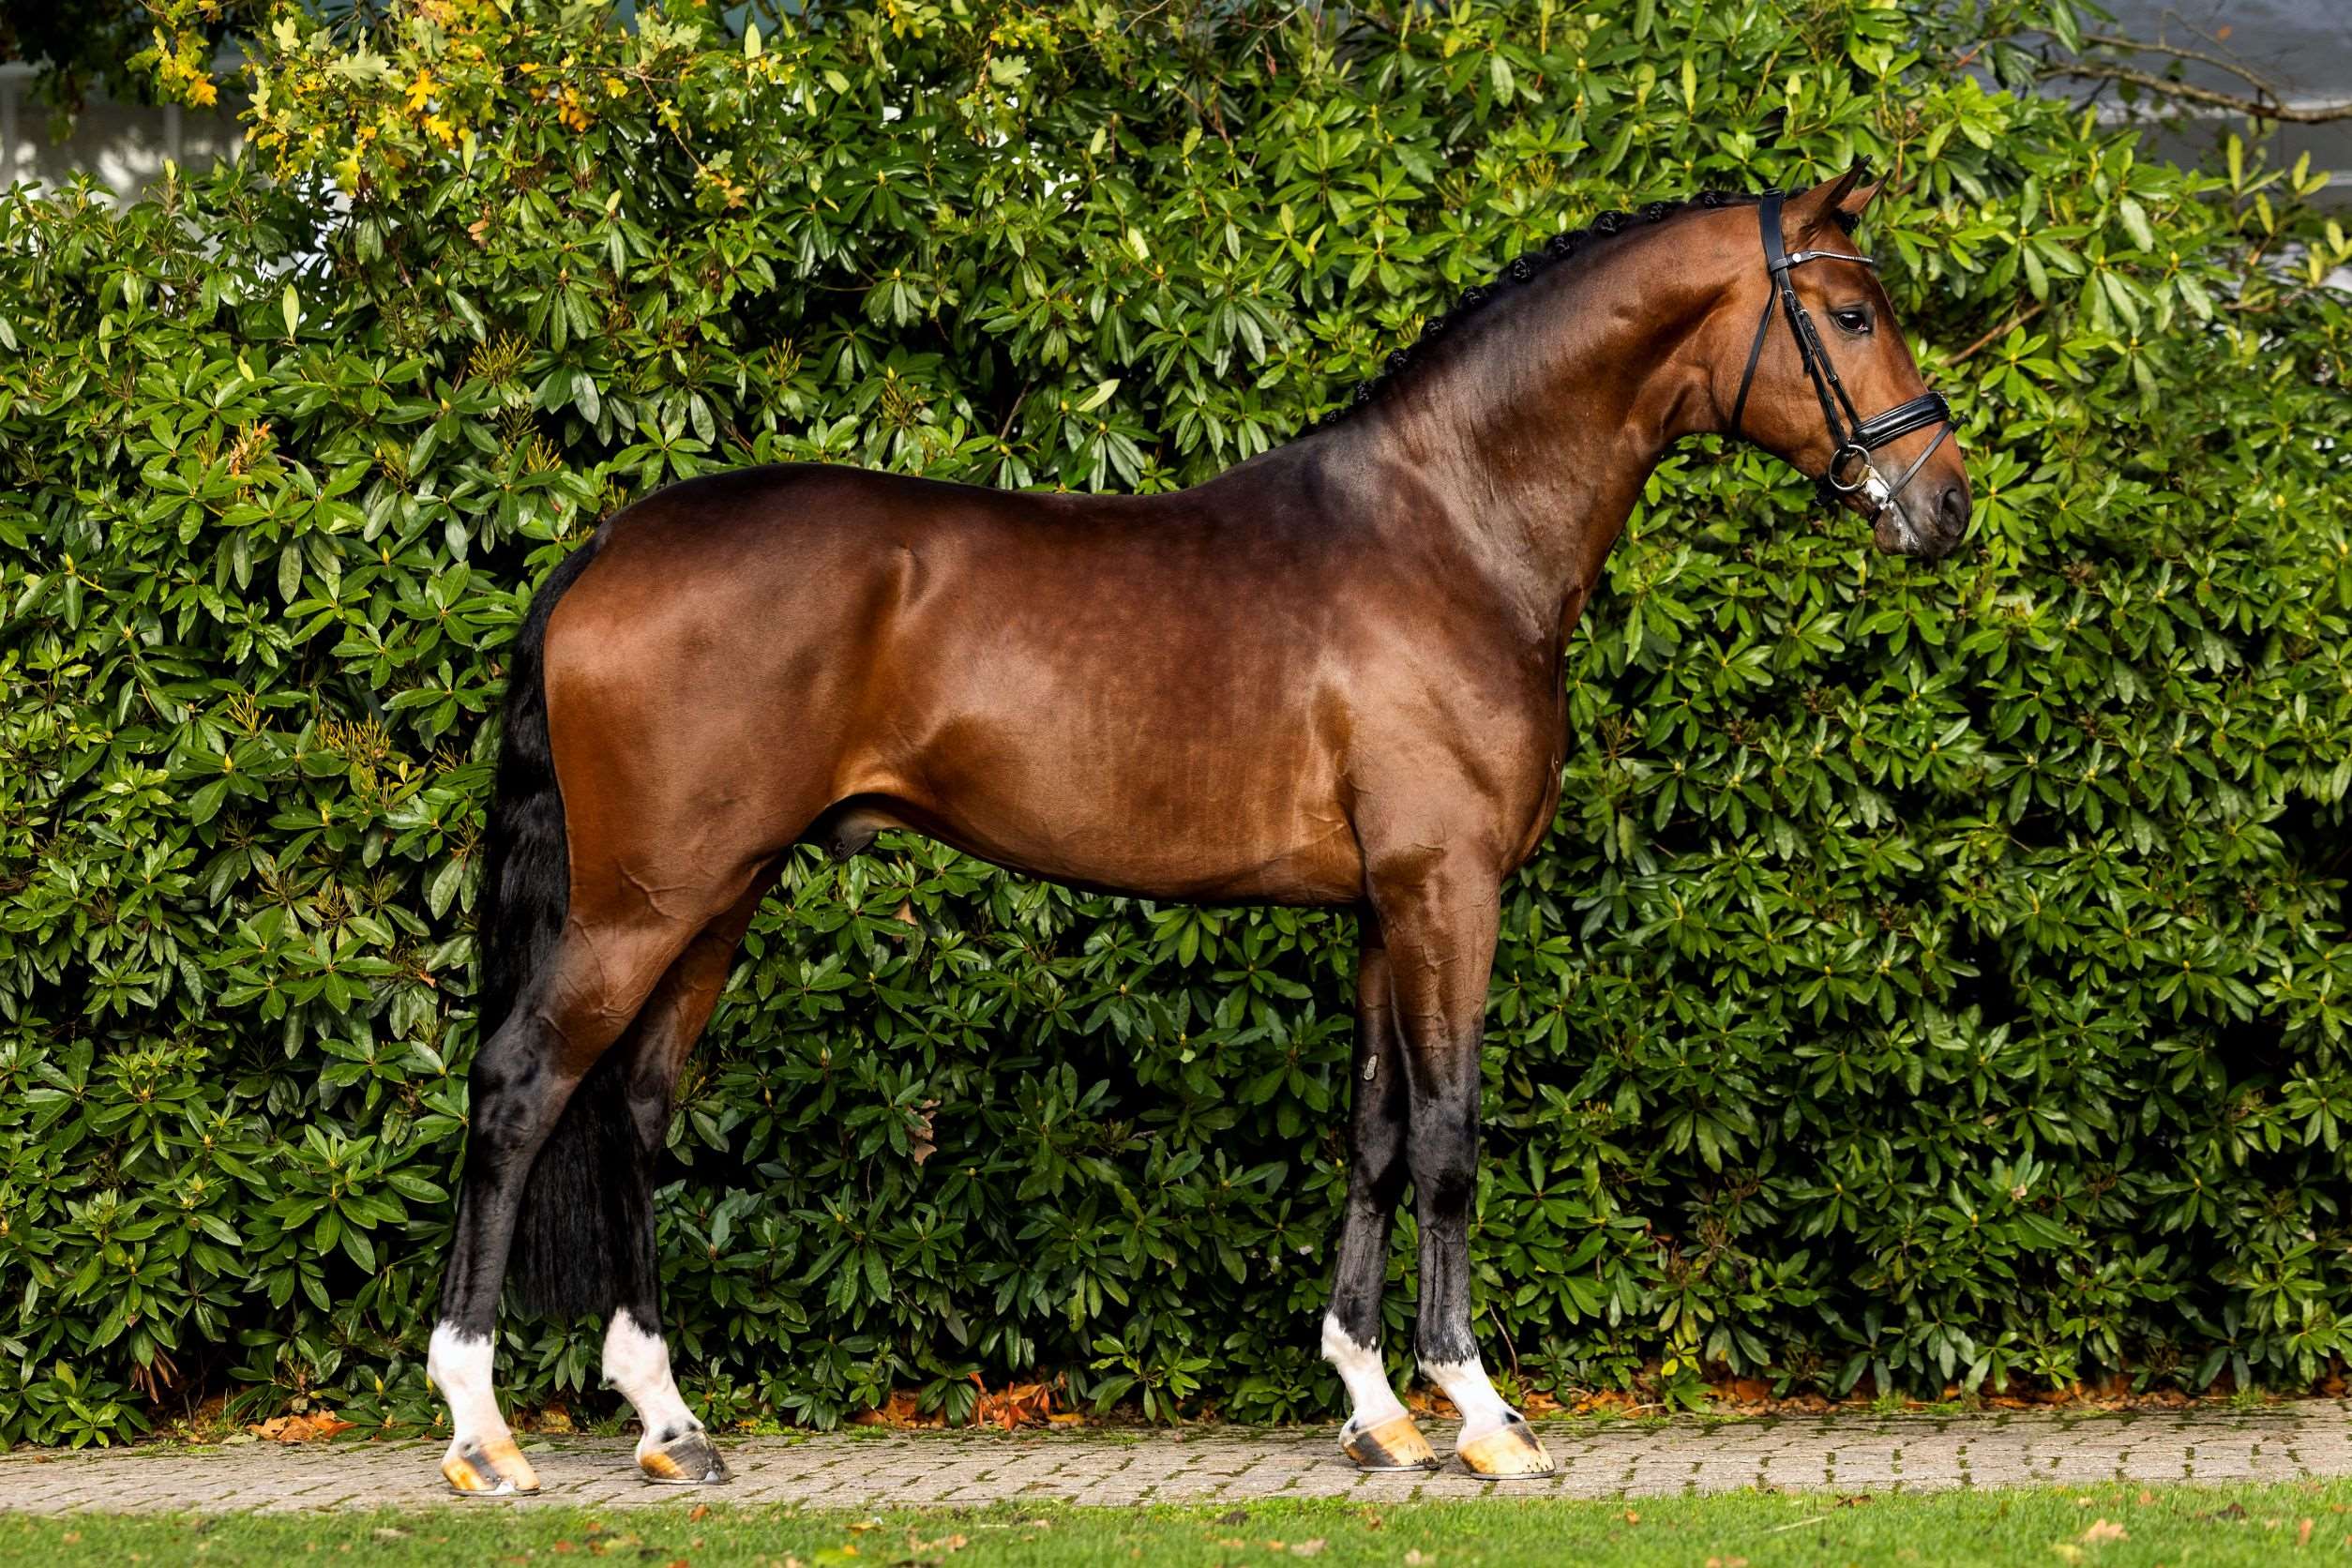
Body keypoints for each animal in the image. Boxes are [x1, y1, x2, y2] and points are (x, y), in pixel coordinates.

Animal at [425, 168, 1967, 1492]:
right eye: (1850, 314)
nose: (1943, 503)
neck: (1454, 530)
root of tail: (611, 543)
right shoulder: (1448, 889)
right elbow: (1449, 1137)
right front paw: (1483, 1414)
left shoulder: (1382, 908)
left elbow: (1375, 1134)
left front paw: (1375, 1410)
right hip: (646, 900)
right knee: (518, 1089)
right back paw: (483, 1432)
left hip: (719, 891)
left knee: (631, 1109)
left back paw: (669, 1423)